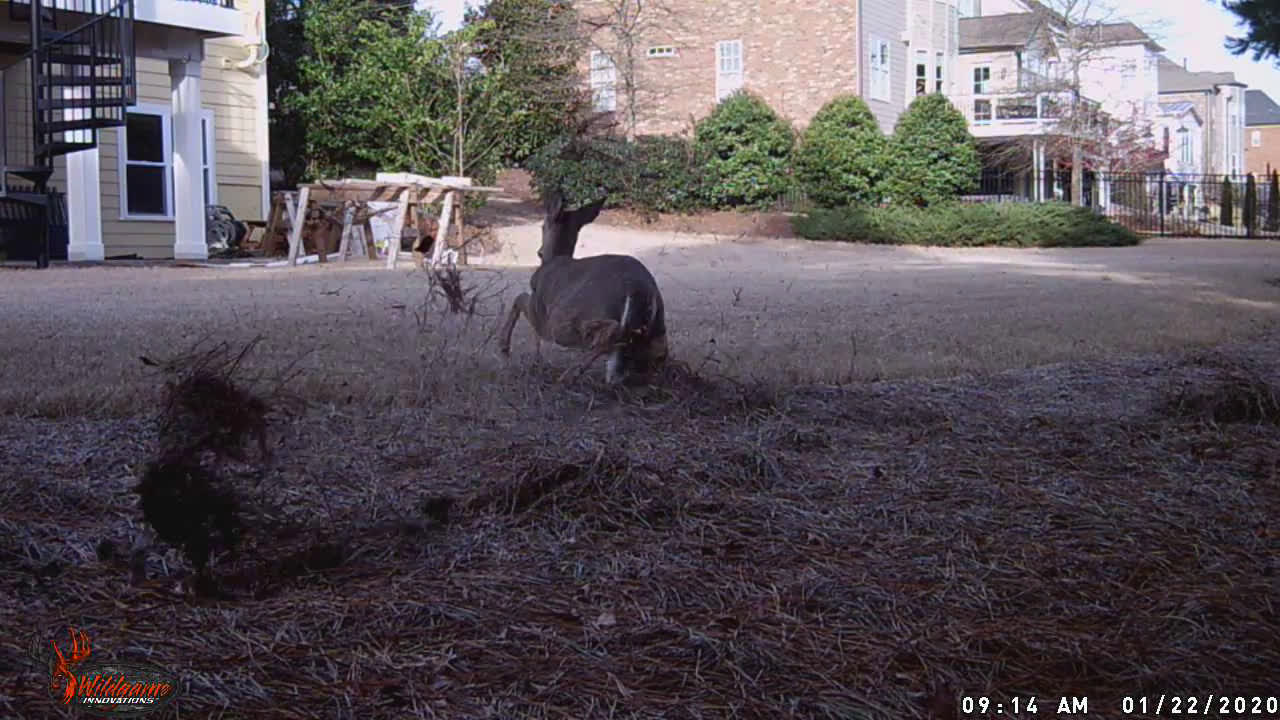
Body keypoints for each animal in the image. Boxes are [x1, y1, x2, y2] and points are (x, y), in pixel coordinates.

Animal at [498, 189, 669, 385]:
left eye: (542, 226)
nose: (539, 251)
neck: (553, 259)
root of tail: (637, 289)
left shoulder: (539, 314)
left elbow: (519, 298)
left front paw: (504, 347)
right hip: (658, 325)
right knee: (658, 350)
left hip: (570, 319)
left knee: (609, 333)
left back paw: (570, 375)